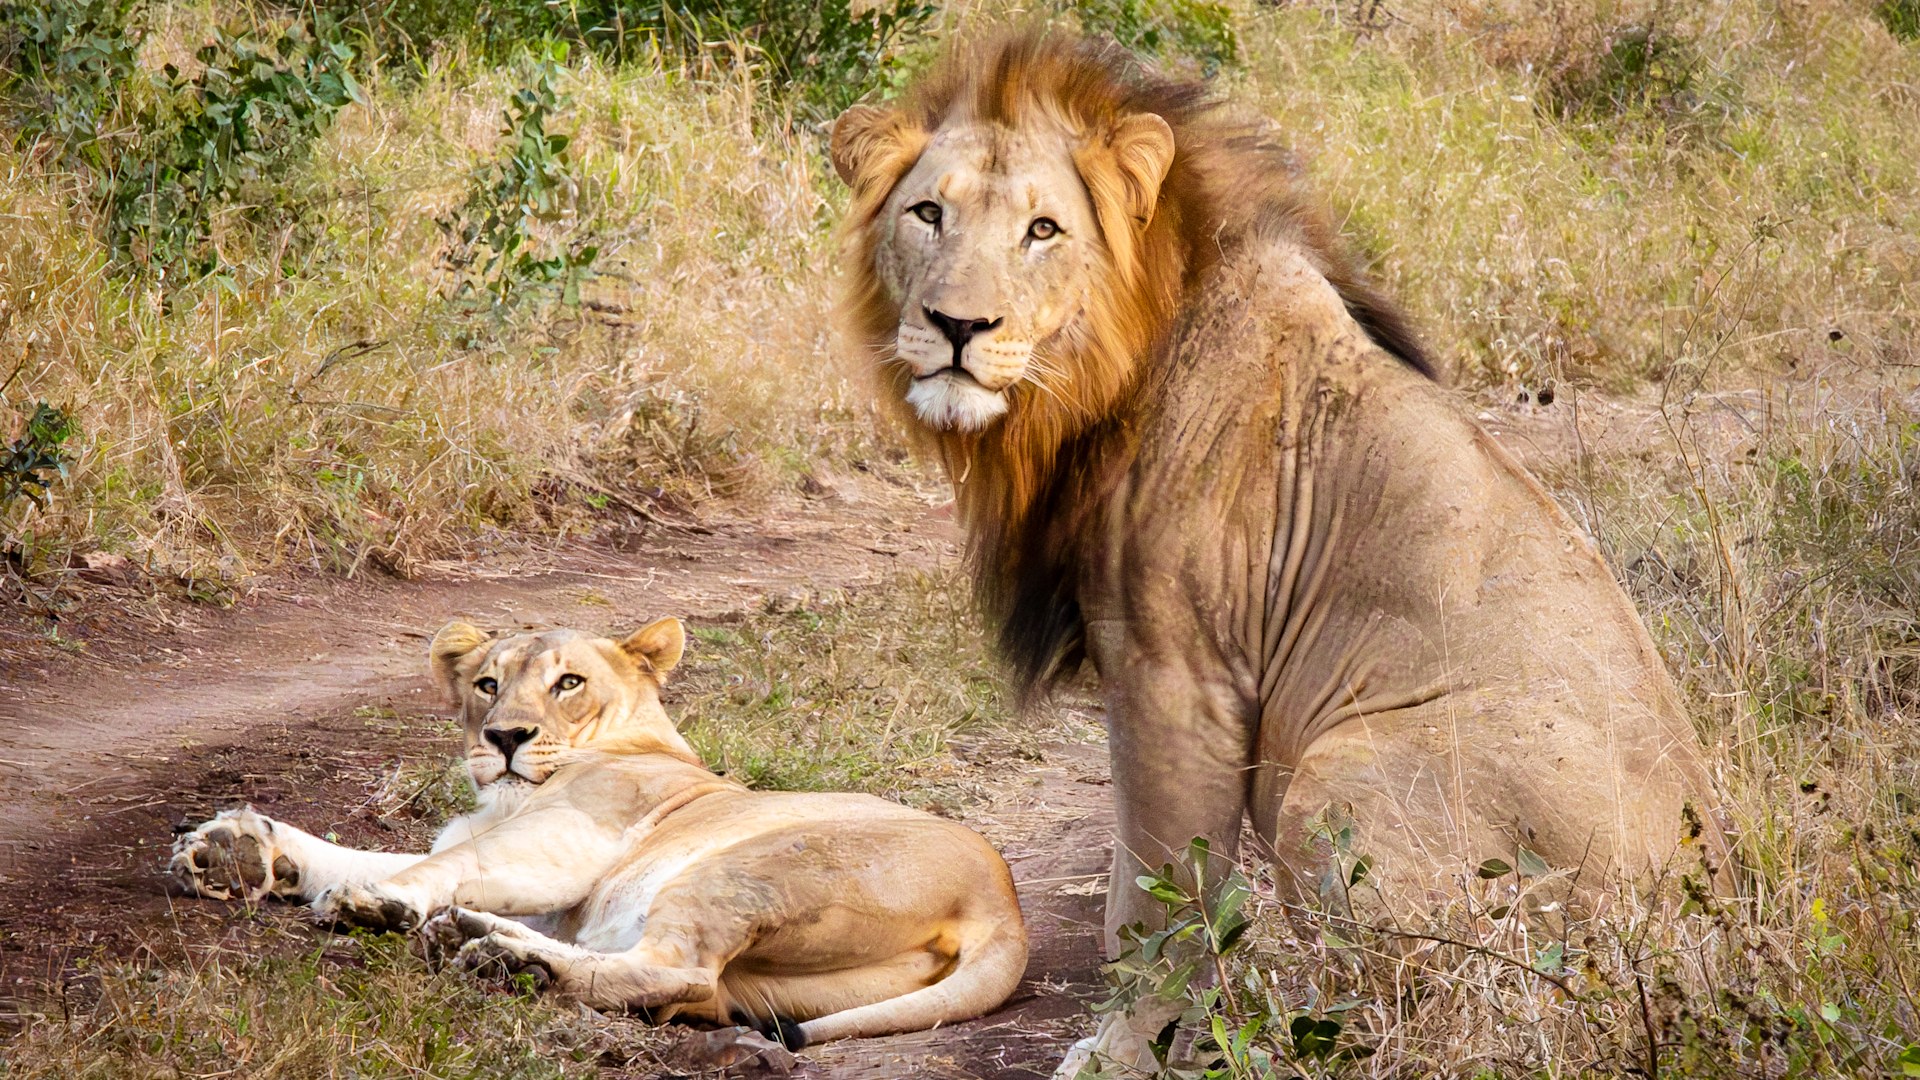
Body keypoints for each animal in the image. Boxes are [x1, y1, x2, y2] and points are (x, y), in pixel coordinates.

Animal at [170, 617, 1027, 1047]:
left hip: (740, 870)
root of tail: (1005, 904)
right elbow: (377, 853)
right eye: (487, 684)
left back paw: (507, 961)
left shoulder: (570, 840)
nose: (504, 737)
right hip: (765, 973)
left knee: (679, 973)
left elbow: (426, 865)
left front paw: (374, 904)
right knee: (686, 989)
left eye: (569, 683)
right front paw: (234, 850)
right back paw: (482, 941)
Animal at [831, 29, 1727, 1075]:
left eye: (1043, 230)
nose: (958, 327)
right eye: (927, 213)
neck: (1087, 389)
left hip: (1340, 770)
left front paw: (1129, 1048)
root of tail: (1701, 942)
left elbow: (1155, 899)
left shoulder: (1179, 676)